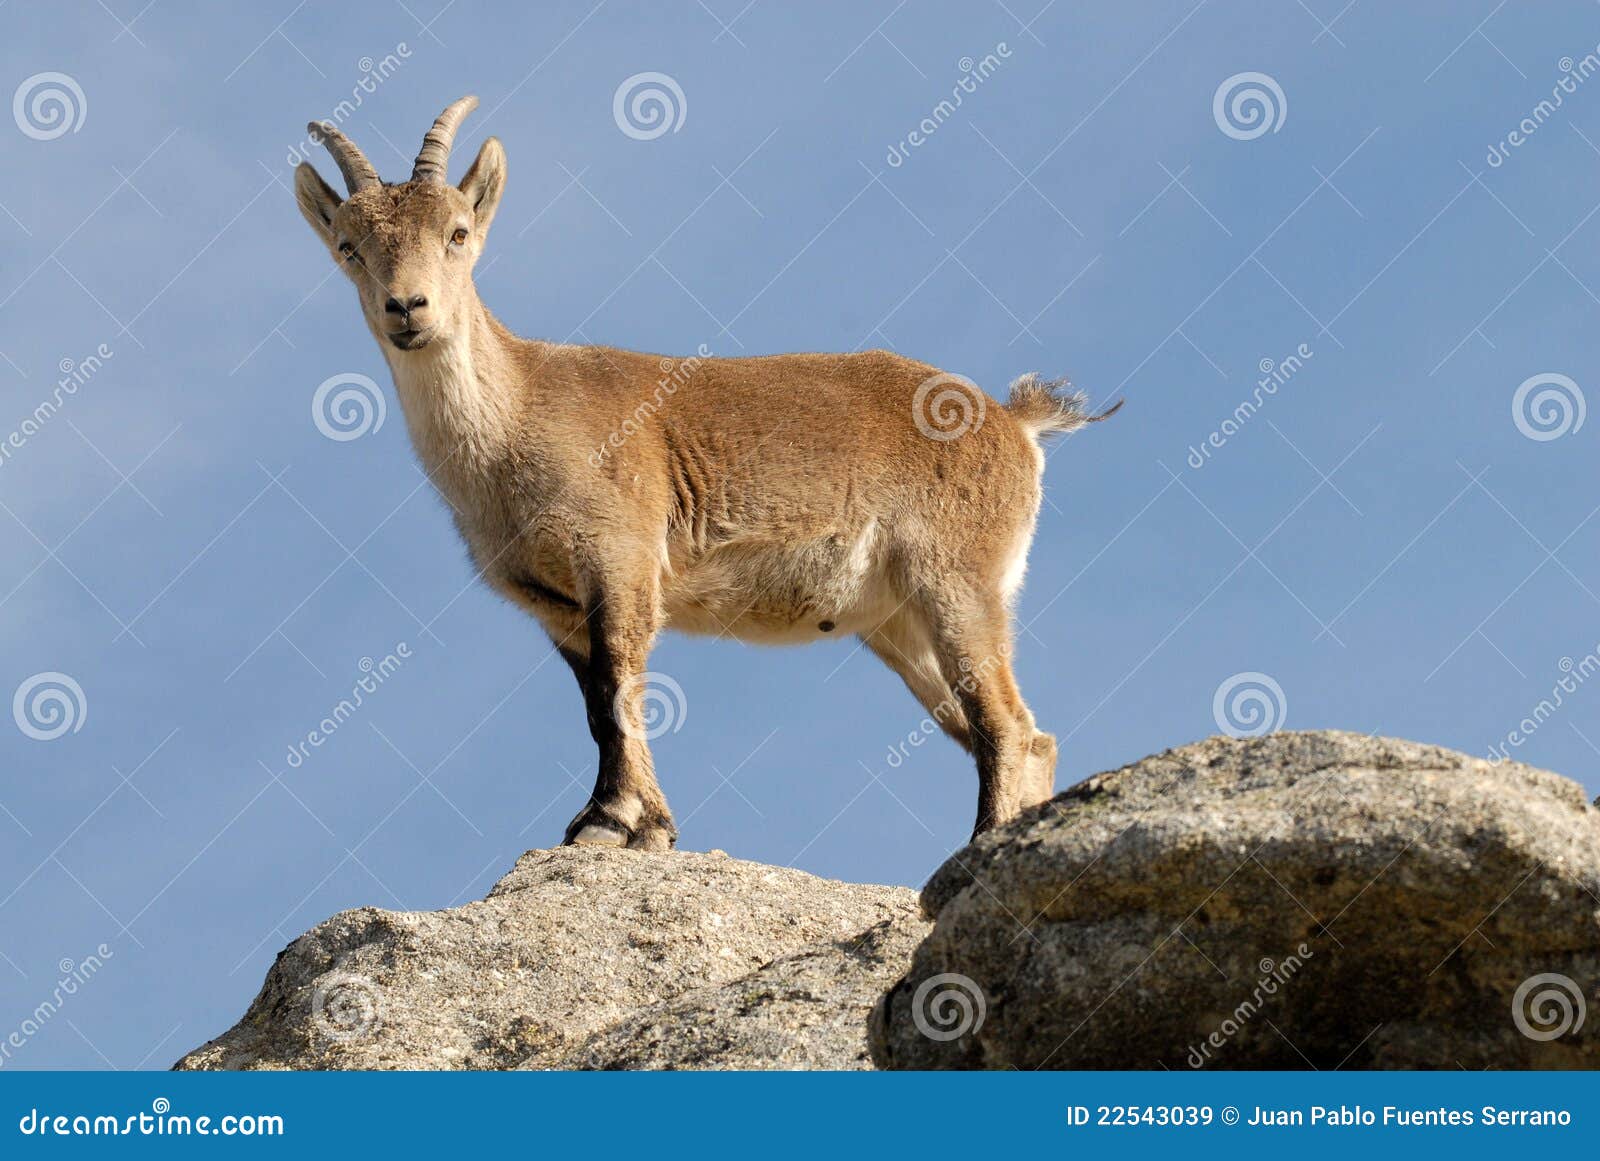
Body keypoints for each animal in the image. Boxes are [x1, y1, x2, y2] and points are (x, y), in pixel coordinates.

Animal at [293, 96, 1120, 851]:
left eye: (458, 233)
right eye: (349, 246)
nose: (408, 307)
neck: (514, 419)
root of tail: (1015, 423)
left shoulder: (619, 553)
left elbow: (618, 688)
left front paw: (609, 819)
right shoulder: (553, 603)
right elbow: (599, 702)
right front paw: (645, 824)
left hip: (956, 575)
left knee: (1004, 723)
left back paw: (982, 843)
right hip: (898, 621)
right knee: (1025, 734)